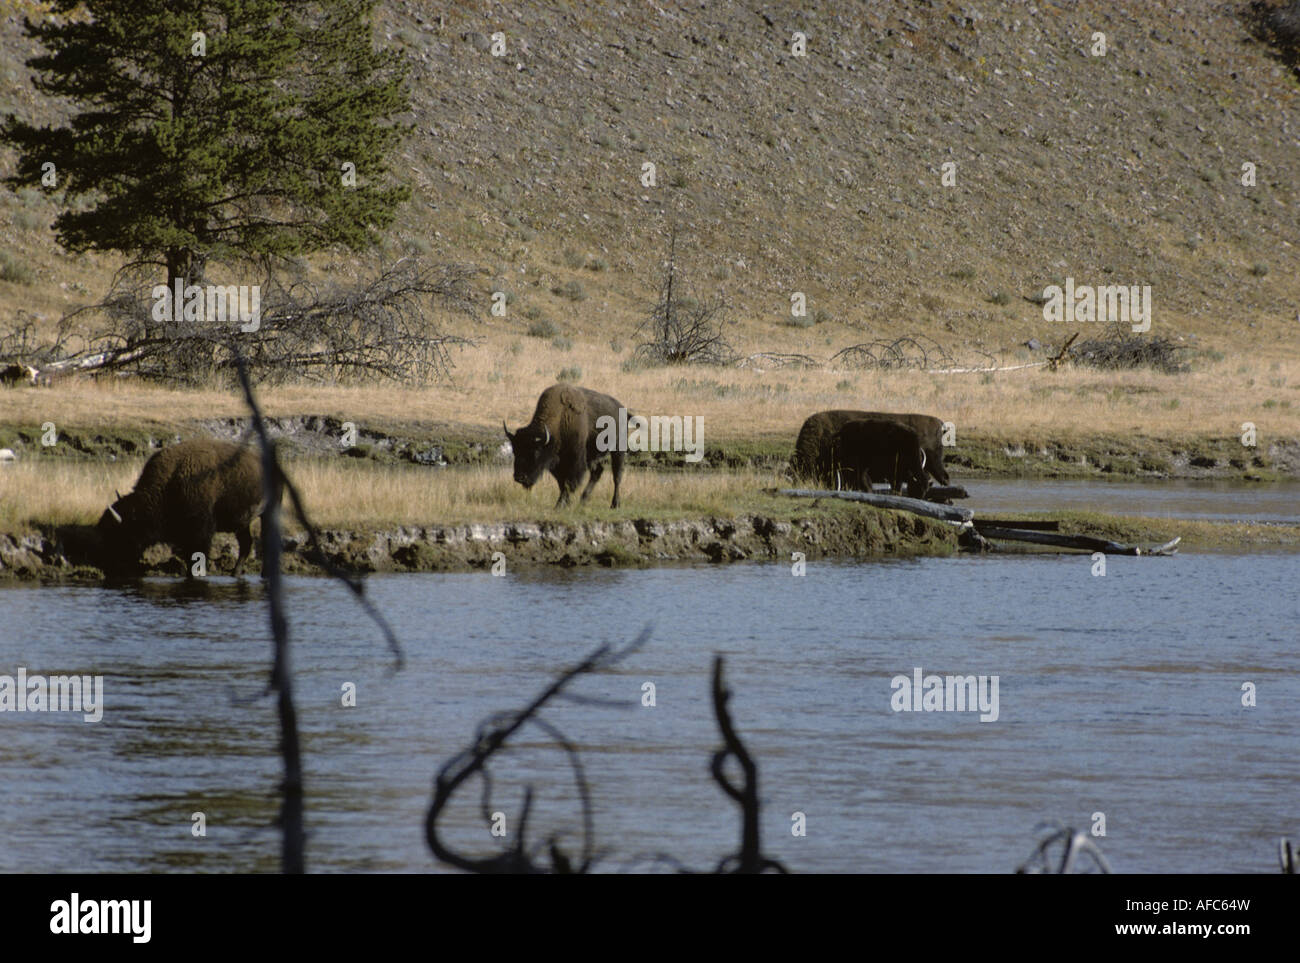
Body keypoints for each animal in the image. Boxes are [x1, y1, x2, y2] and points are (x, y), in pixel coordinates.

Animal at [97, 438, 277, 576]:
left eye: (121, 534)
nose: (109, 566)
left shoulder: (201, 532)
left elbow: (197, 554)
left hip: (268, 512)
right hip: (243, 523)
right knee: (246, 543)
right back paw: (235, 573)